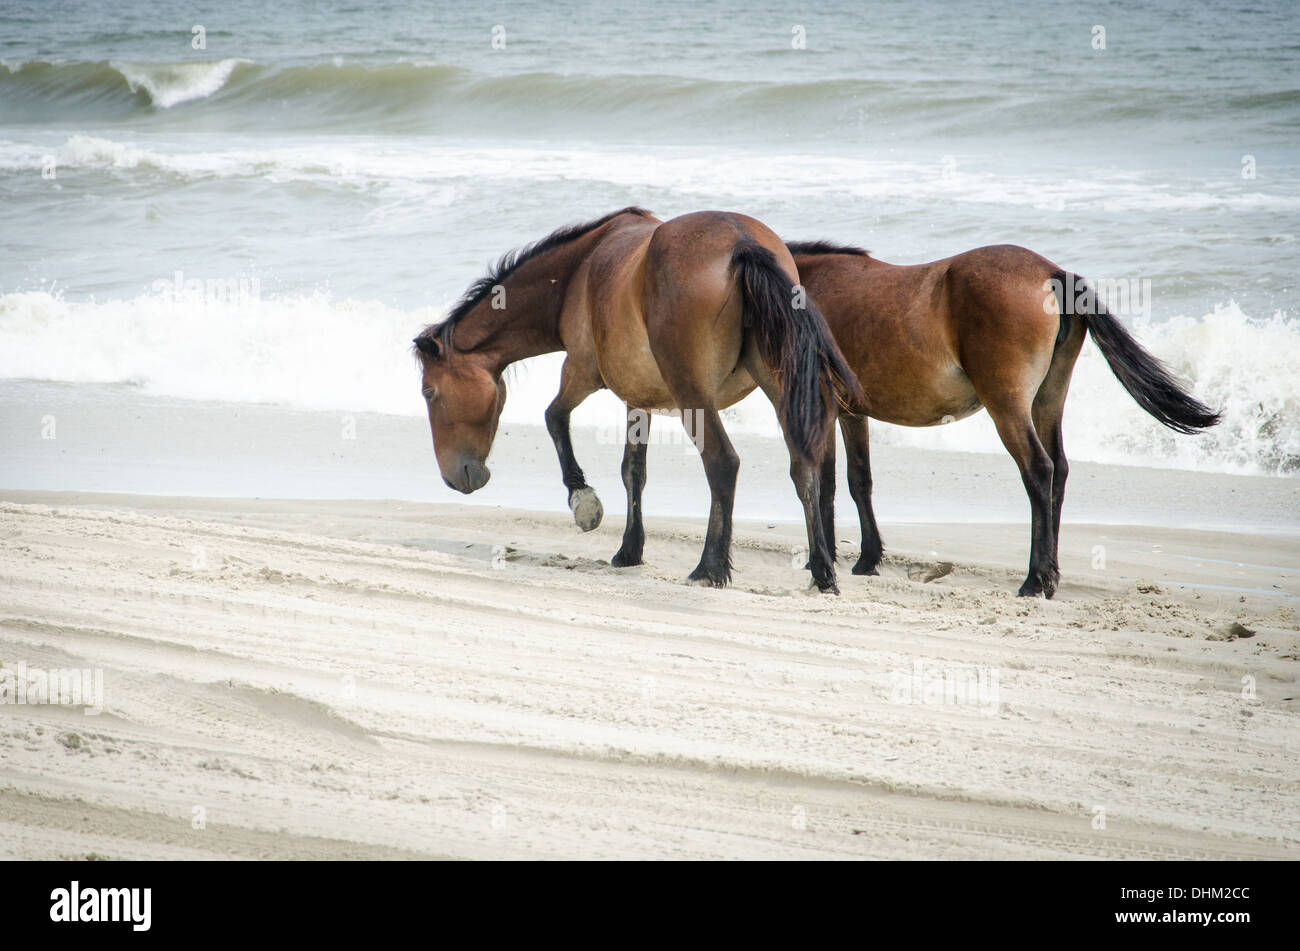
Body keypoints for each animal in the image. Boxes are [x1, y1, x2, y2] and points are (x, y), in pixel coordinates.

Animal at [412, 207, 864, 592]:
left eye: (429, 392)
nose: (454, 478)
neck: (576, 272)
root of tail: (742, 243)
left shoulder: (580, 370)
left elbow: (554, 417)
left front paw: (583, 502)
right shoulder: (637, 399)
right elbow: (633, 471)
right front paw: (630, 549)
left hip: (694, 396)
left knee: (723, 463)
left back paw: (710, 567)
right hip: (778, 383)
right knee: (803, 466)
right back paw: (822, 572)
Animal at [786, 241, 1221, 598]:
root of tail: (1051, 273)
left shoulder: (827, 407)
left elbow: (828, 483)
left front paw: (832, 559)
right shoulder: (851, 414)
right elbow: (859, 480)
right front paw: (865, 558)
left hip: (1007, 406)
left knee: (1038, 470)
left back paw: (1035, 579)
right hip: (1048, 400)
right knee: (1059, 469)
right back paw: (1051, 576)